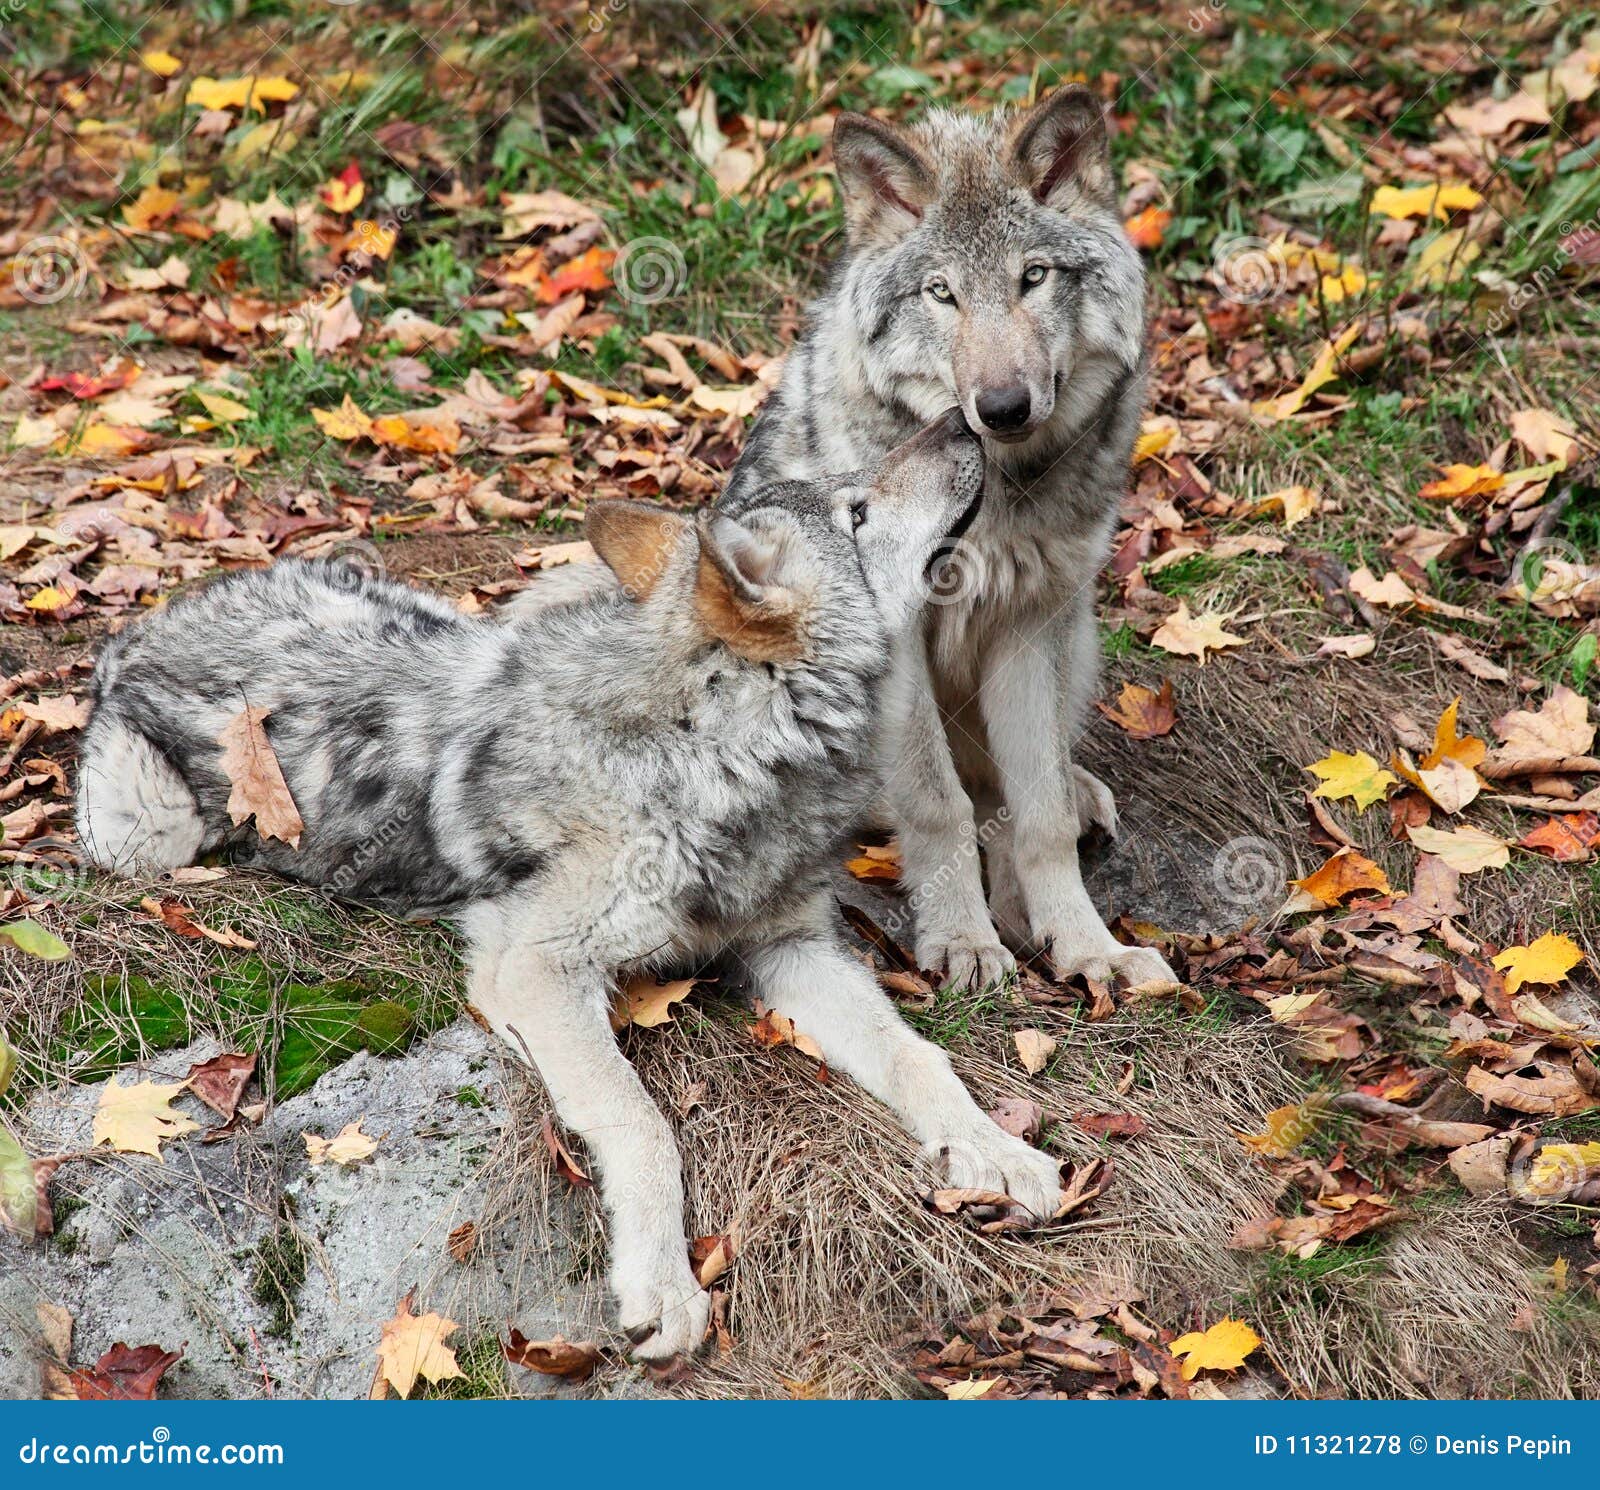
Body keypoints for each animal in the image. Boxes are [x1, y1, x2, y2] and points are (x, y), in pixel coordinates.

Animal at [74, 413, 1064, 1362]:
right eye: (856, 511)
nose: (963, 422)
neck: (715, 752)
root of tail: (142, 626)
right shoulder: (534, 970)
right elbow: (641, 1124)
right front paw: (663, 1286)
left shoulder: (793, 948)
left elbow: (917, 1057)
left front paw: (995, 1150)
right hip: (148, 840)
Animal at [723, 87, 1177, 991]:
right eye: (942, 293)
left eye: (1032, 278)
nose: (1001, 407)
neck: (993, 501)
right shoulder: (896, 644)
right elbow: (937, 807)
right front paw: (962, 942)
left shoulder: (1029, 627)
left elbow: (1036, 814)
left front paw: (1088, 947)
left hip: (1078, 634)